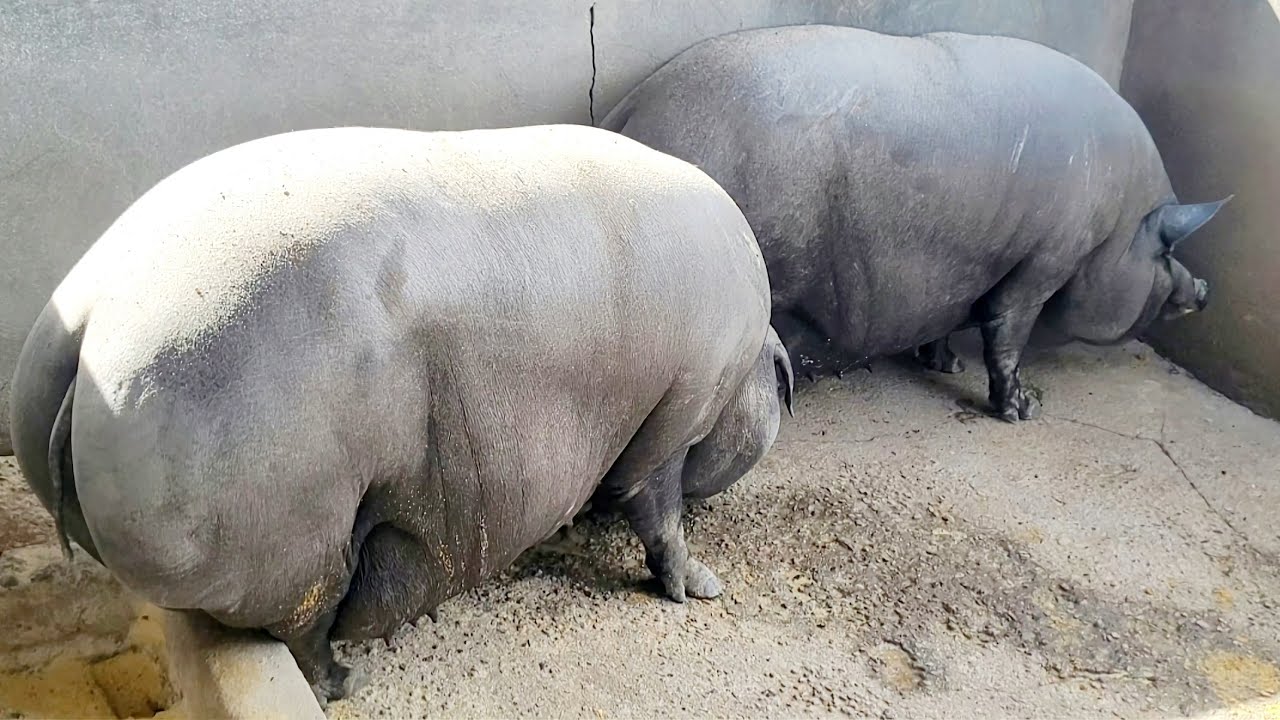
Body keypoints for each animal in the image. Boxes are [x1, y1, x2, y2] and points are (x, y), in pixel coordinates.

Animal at [8, 124, 793, 702]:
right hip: (290, 531)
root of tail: (88, 324)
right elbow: (658, 510)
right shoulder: (679, 407)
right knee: (301, 626)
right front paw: (701, 593)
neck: (744, 359)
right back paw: (343, 684)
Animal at [602, 24, 1229, 421]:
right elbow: (1008, 328)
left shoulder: (958, 274)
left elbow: (952, 319)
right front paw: (1023, 411)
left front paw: (946, 364)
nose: (1203, 288)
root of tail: (632, 110)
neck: (1115, 227)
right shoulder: (1048, 258)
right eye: (1167, 251)